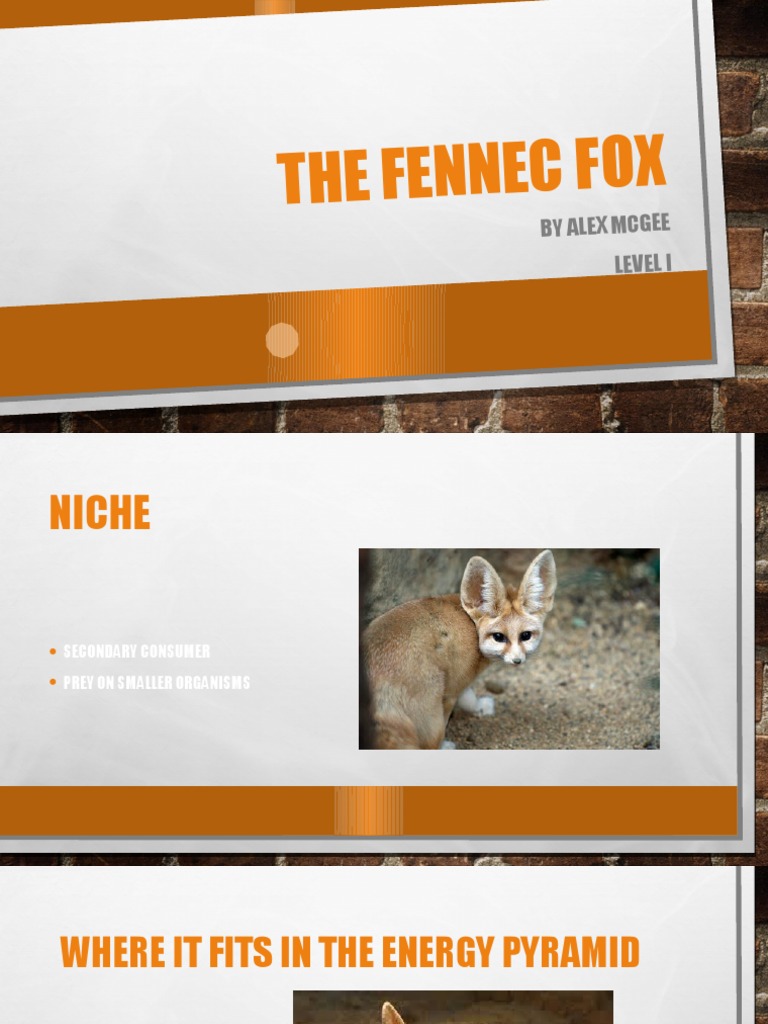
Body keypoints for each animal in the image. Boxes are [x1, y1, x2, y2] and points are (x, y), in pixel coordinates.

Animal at [362, 550, 557, 750]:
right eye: (498, 637)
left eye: (525, 635)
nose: (517, 661)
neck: (471, 626)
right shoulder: (454, 686)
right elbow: (464, 700)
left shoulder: (461, 682)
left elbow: (469, 698)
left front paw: (480, 707)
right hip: (433, 715)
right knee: (430, 742)